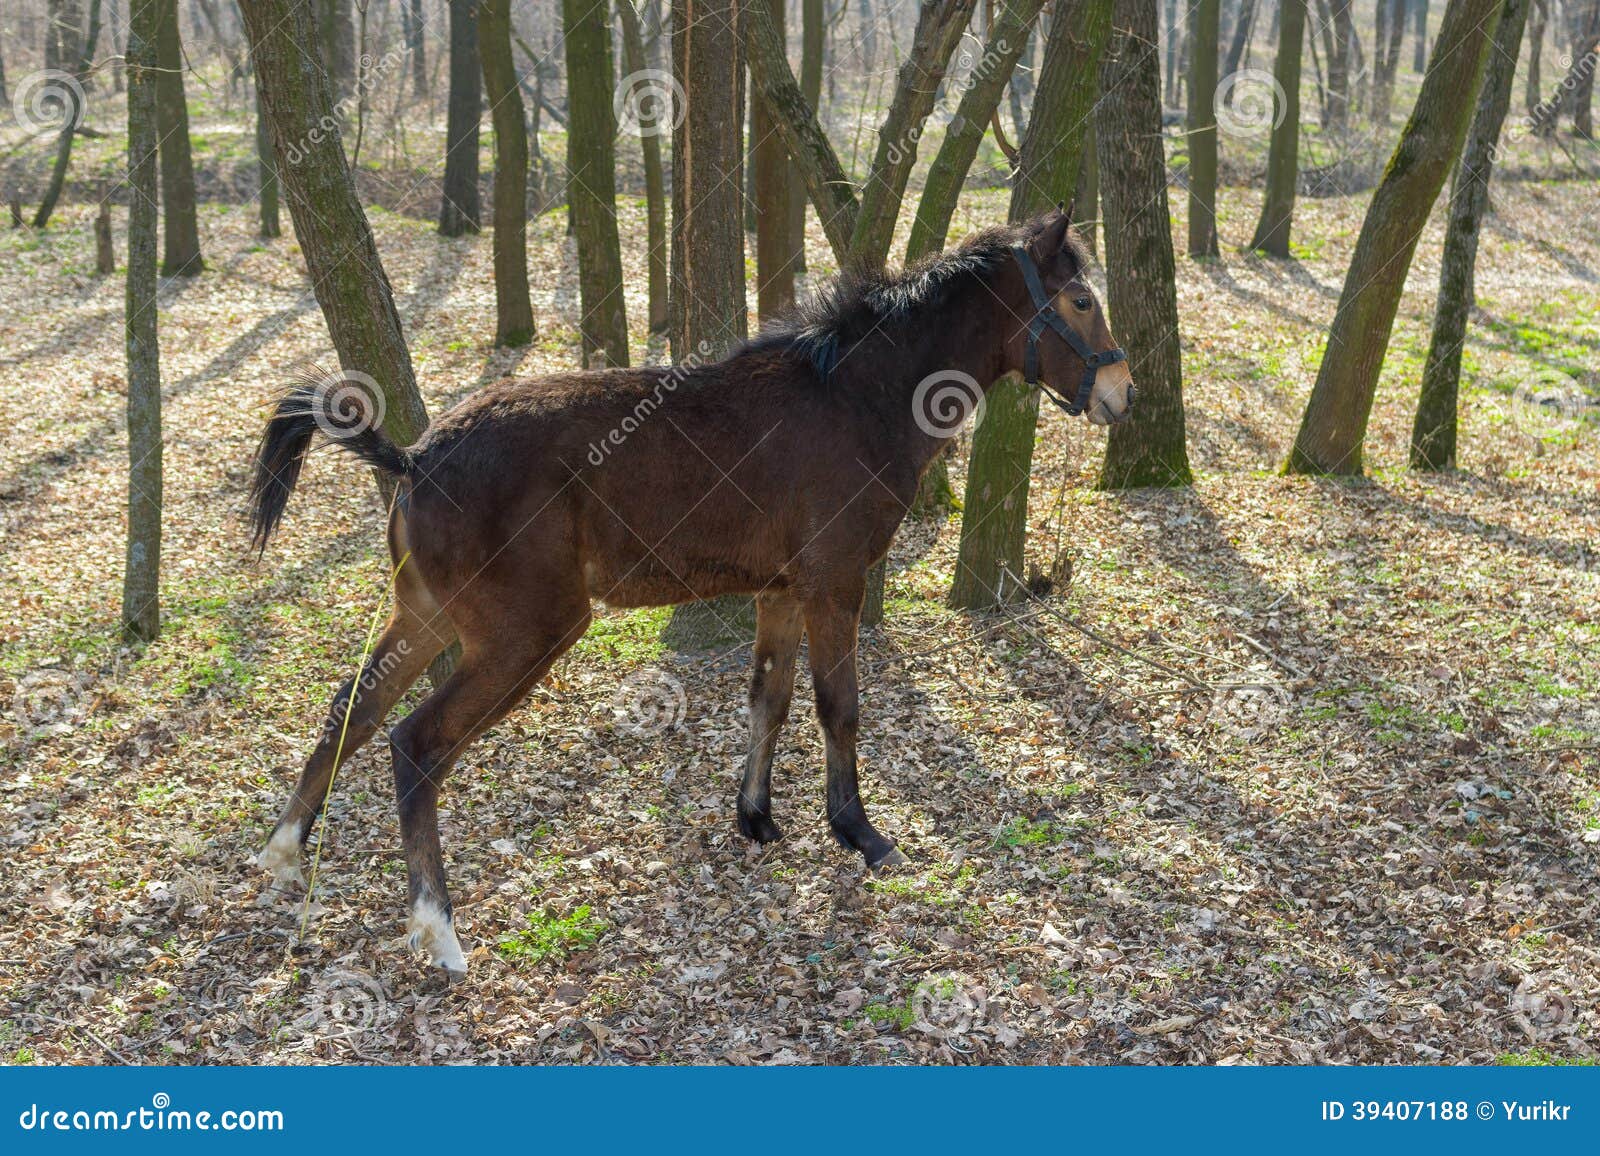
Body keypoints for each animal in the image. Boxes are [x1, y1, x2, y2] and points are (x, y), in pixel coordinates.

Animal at [246, 208, 1135, 976]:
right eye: (1081, 300)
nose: (1123, 395)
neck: (856, 396)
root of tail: (418, 456)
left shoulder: (780, 592)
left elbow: (770, 698)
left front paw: (757, 816)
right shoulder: (834, 584)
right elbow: (838, 705)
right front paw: (858, 831)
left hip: (427, 617)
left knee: (353, 708)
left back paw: (286, 854)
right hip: (522, 636)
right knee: (416, 745)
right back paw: (435, 928)